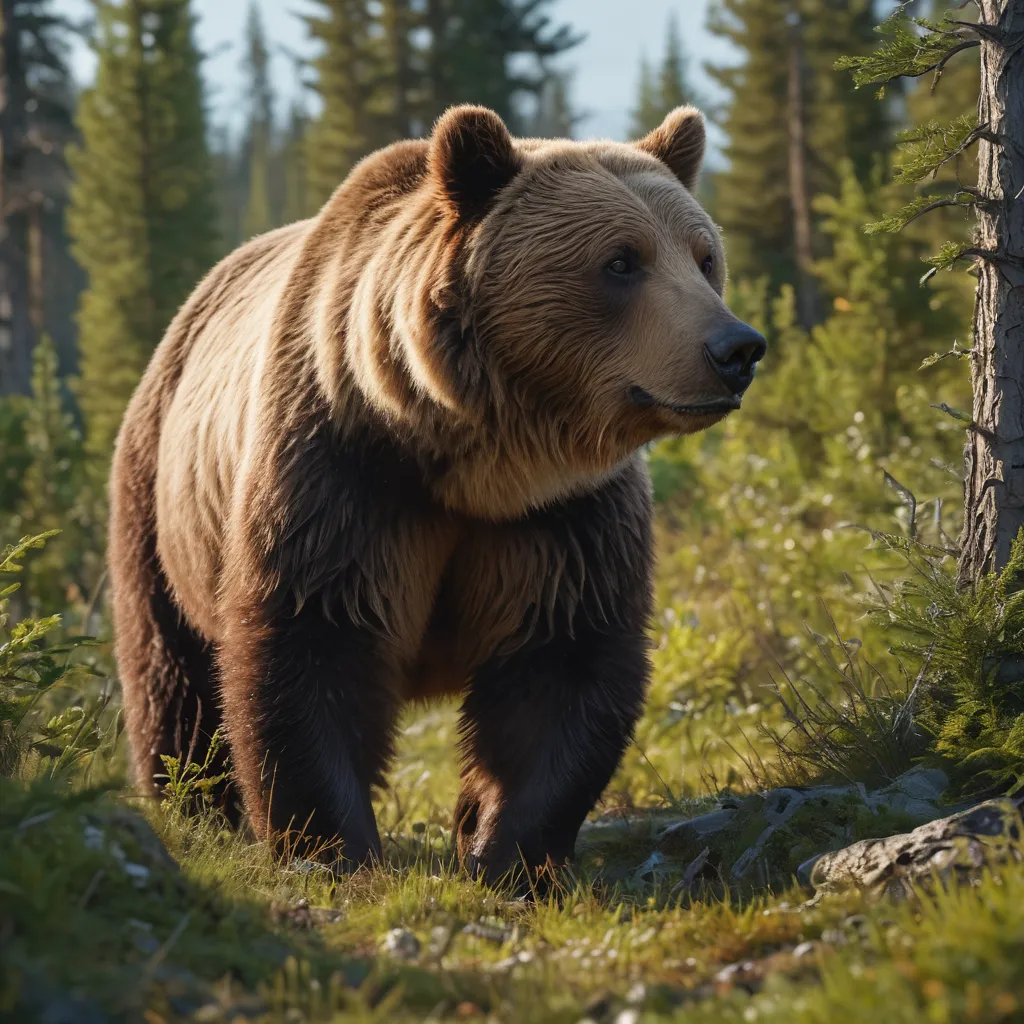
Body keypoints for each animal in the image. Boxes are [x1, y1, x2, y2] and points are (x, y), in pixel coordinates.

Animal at [107, 103, 766, 885]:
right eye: (620, 261)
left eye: (703, 257)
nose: (735, 348)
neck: (473, 465)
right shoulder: (344, 476)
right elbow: (311, 644)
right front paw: (332, 848)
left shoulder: (564, 517)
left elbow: (563, 664)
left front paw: (507, 852)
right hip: (159, 499)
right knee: (171, 671)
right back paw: (194, 806)